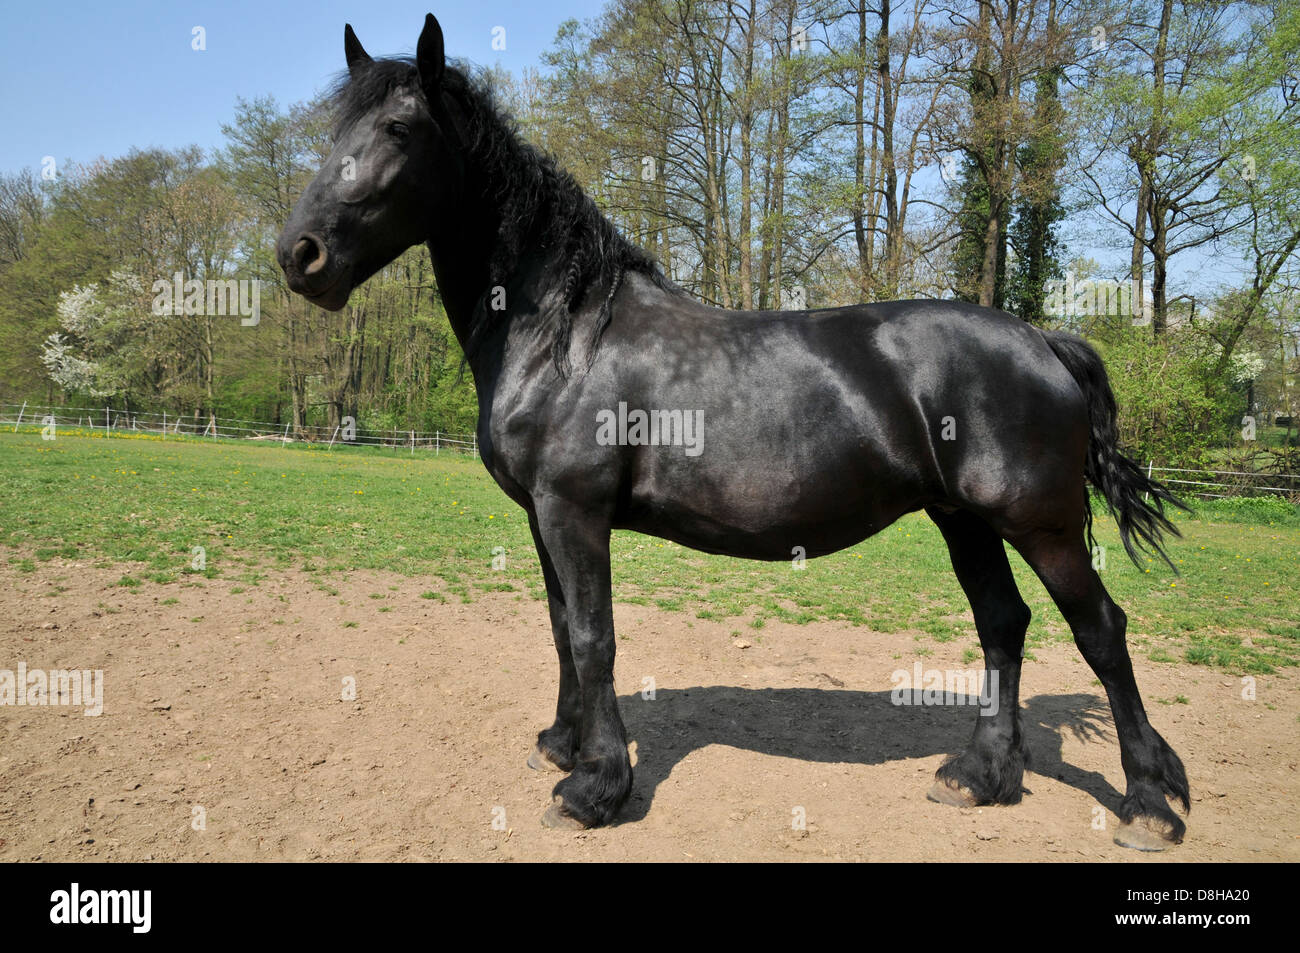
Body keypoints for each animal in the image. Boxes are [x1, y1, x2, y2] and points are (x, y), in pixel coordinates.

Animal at [277, 13, 1191, 850]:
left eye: (398, 130)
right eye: (337, 131)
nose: (300, 255)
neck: (560, 331)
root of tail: (1043, 339)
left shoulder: (573, 512)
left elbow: (594, 636)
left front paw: (595, 787)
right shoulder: (540, 517)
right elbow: (561, 631)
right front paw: (562, 747)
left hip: (1041, 524)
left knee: (1100, 631)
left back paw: (1149, 802)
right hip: (964, 520)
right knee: (1004, 625)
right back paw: (979, 775)